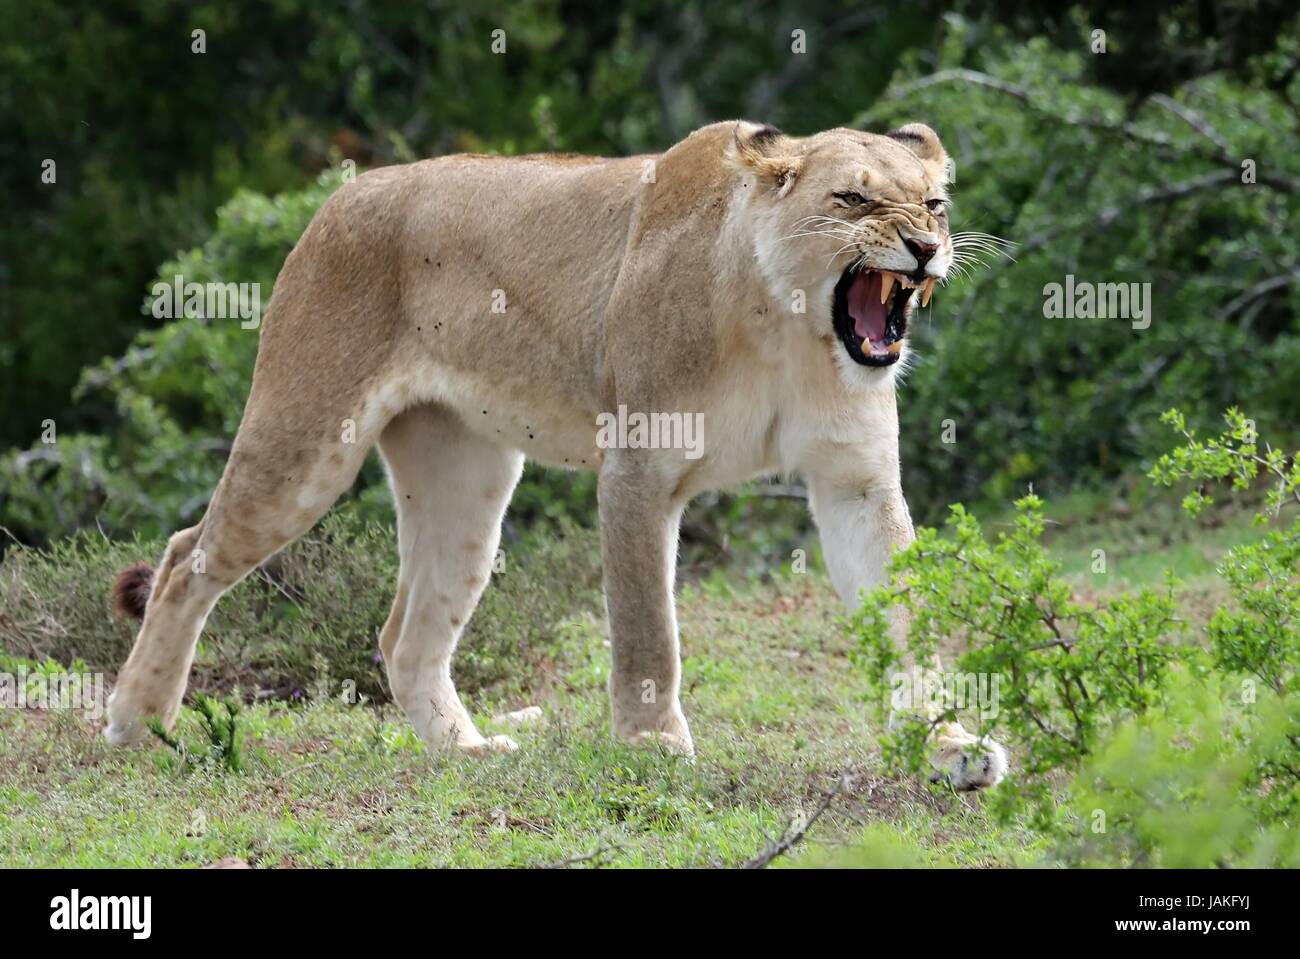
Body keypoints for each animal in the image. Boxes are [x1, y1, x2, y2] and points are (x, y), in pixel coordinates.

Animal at [106, 120, 1007, 791]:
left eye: (933, 202)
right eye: (853, 197)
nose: (925, 248)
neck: (792, 328)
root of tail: (342, 193)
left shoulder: (857, 483)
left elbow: (907, 621)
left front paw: (946, 742)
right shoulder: (638, 471)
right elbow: (648, 632)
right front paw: (651, 744)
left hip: (468, 481)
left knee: (405, 633)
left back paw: (467, 752)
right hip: (305, 443)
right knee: (187, 559)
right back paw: (138, 722)